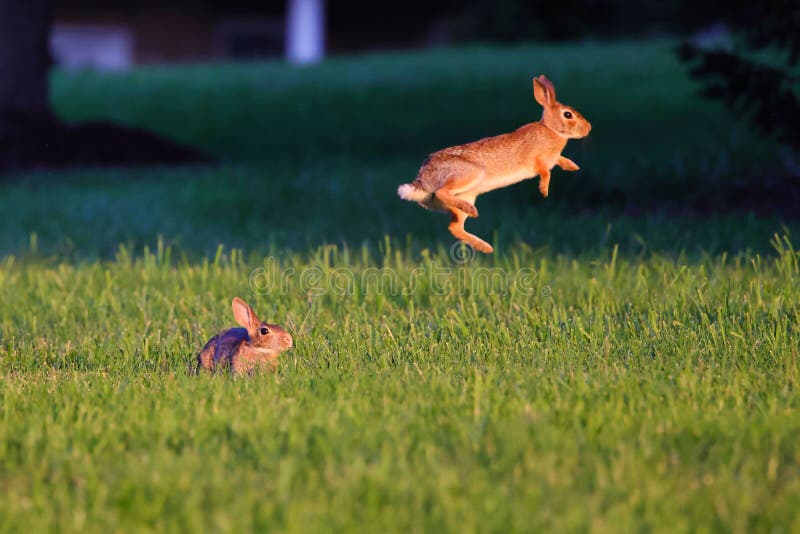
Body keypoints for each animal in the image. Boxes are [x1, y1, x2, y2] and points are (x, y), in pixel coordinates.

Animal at [397, 75, 591, 254]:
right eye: (568, 114)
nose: (589, 128)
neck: (551, 130)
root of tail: (423, 181)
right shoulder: (534, 160)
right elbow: (545, 172)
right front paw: (544, 191)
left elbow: (559, 160)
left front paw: (572, 166)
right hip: (470, 174)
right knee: (442, 192)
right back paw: (473, 214)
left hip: (467, 195)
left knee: (454, 228)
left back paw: (485, 247)